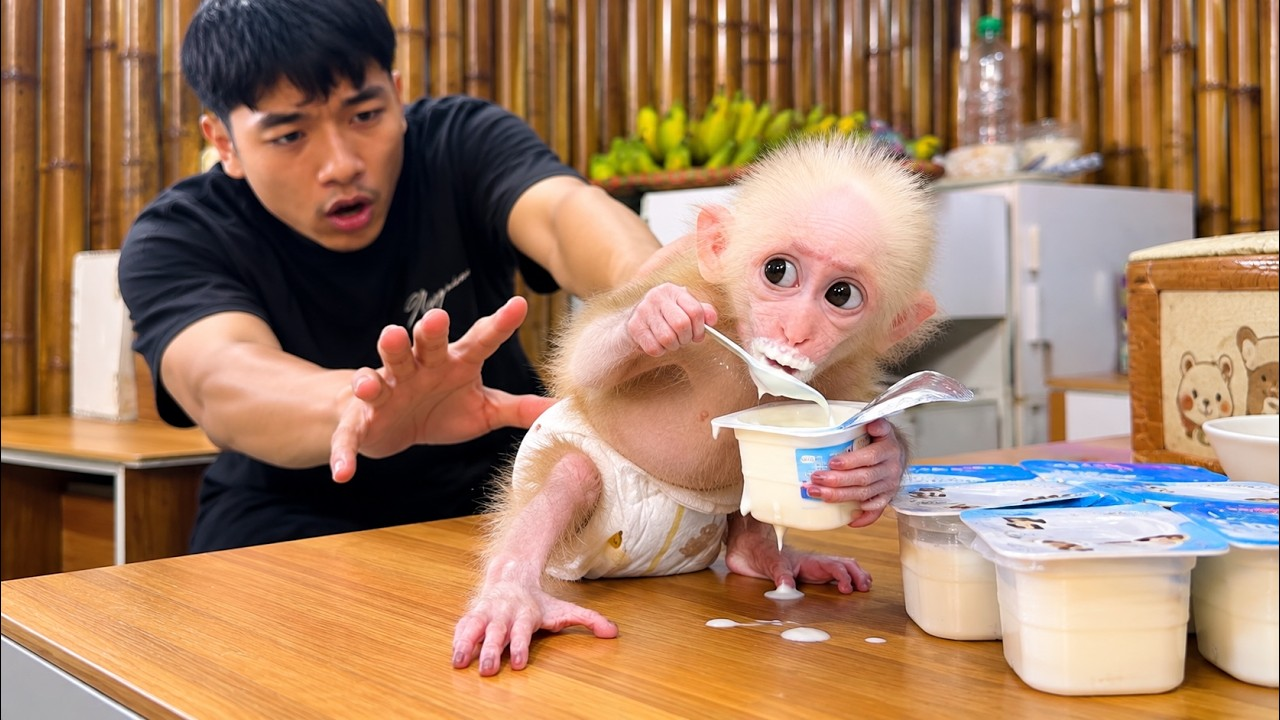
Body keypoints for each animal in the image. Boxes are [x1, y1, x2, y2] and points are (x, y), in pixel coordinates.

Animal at [451, 135, 939, 677]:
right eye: (779, 271)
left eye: (841, 295)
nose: (796, 330)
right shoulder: (693, 284)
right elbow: (585, 362)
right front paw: (654, 318)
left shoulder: (846, 370)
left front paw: (881, 460)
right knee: (571, 473)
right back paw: (512, 596)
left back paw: (766, 557)